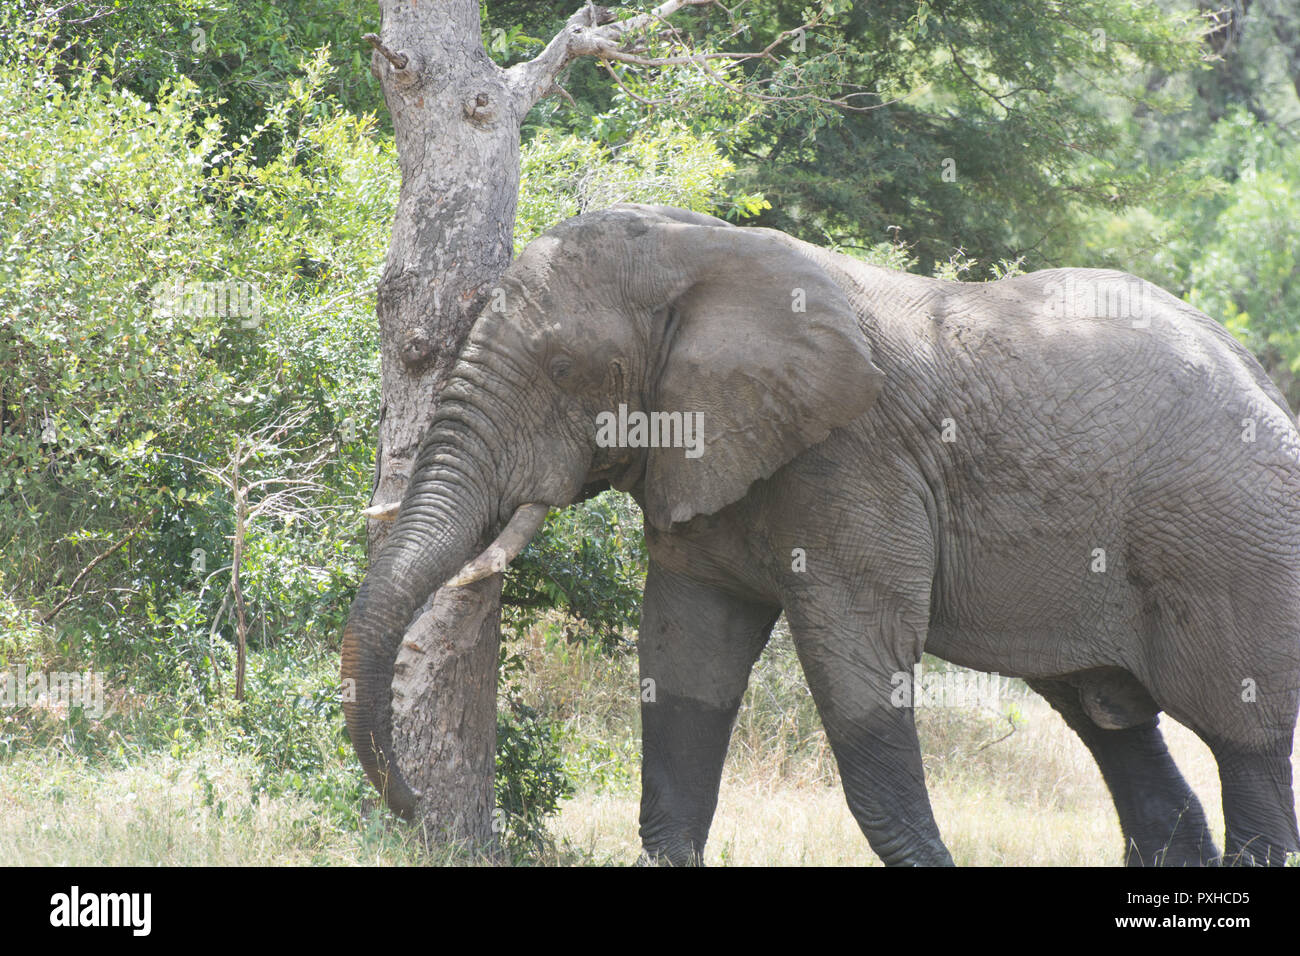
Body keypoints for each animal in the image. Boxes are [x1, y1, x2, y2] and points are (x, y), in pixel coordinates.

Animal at [341, 202, 1300, 866]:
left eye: (565, 368)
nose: (417, 810)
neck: (702, 249)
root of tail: (1264, 388)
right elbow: (685, 663)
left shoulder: (854, 463)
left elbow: (860, 669)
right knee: (1113, 723)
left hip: (1232, 549)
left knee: (1244, 741)